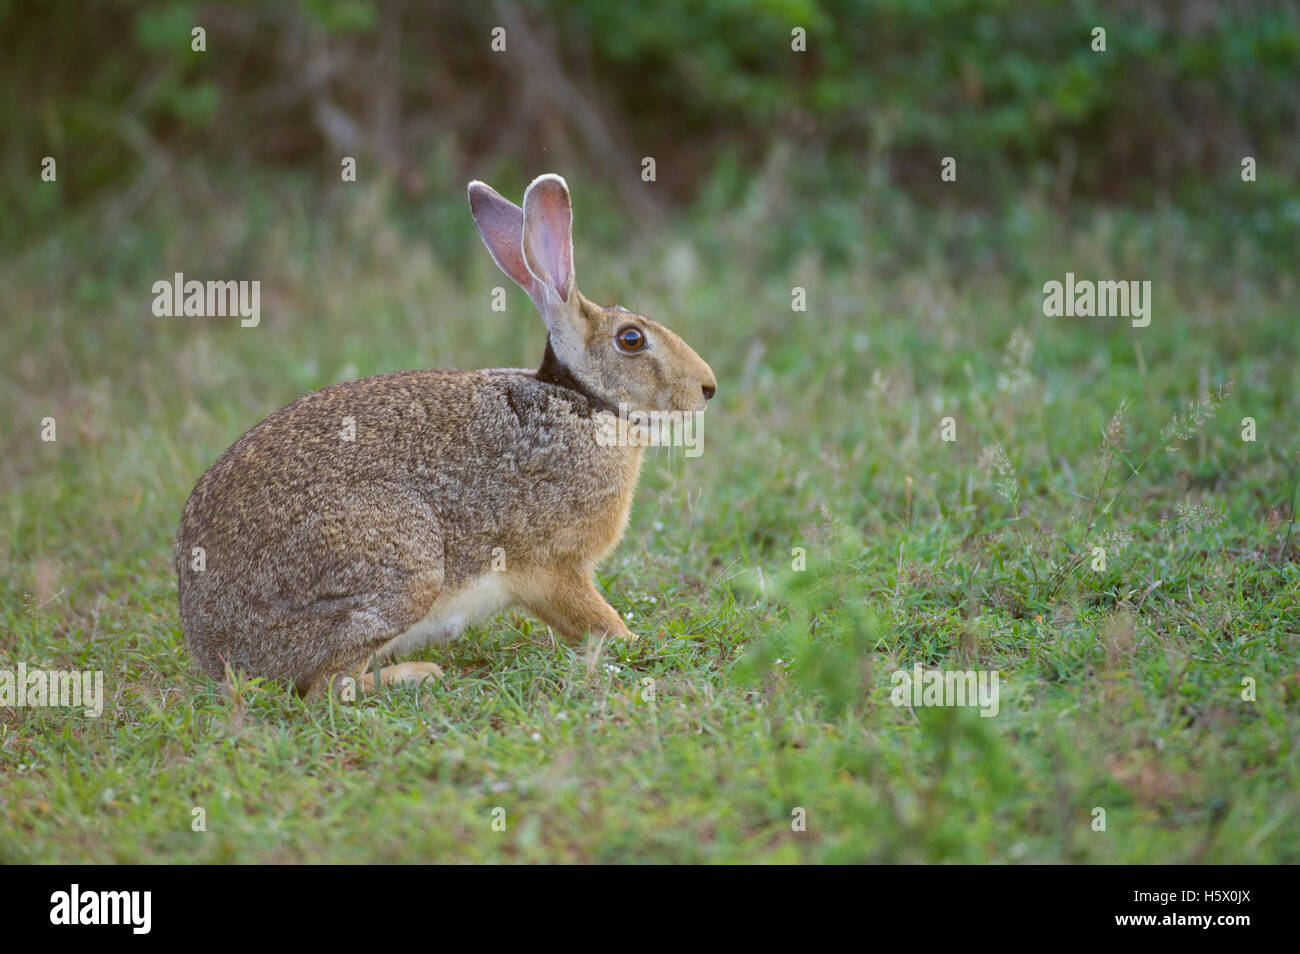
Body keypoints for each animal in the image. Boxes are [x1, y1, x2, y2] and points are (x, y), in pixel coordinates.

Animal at [176, 174, 717, 696]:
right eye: (632, 339)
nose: (707, 388)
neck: (580, 399)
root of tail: (219, 650)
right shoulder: (553, 567)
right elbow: (595, 618)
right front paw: (636, 640)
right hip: (402, 563)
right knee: (328, 687)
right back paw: (416, 675)